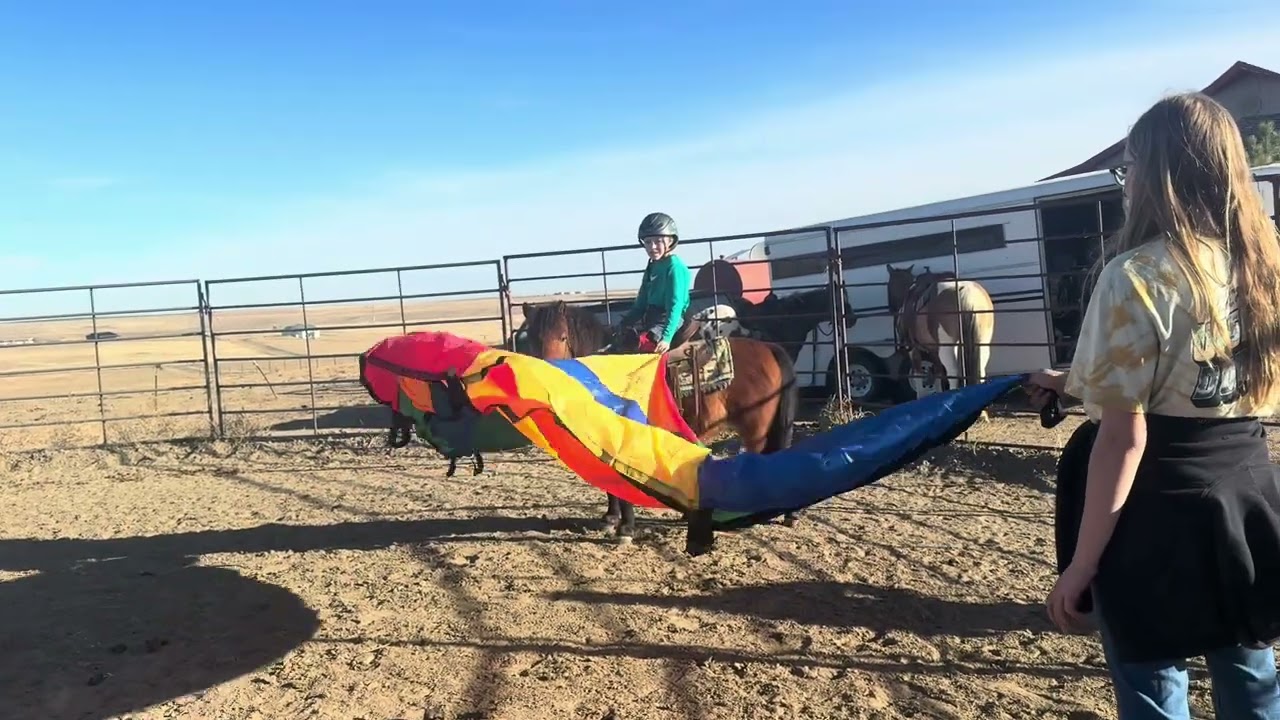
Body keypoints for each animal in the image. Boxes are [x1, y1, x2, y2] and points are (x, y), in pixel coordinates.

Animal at [519, 299, 801, 556]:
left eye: (563, 337)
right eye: (530, 339)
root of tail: (769, 348)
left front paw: (625, 530)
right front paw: (611, 520)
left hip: (756, 429)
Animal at [885, 264, 995, 409]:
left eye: (889, 285)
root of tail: (966, 295)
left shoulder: (914, 351)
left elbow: (918, 374)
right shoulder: (934, 351)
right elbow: (937, 372)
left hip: (948, 348)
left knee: (953, 372)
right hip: (982, 343)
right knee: (980, 370)